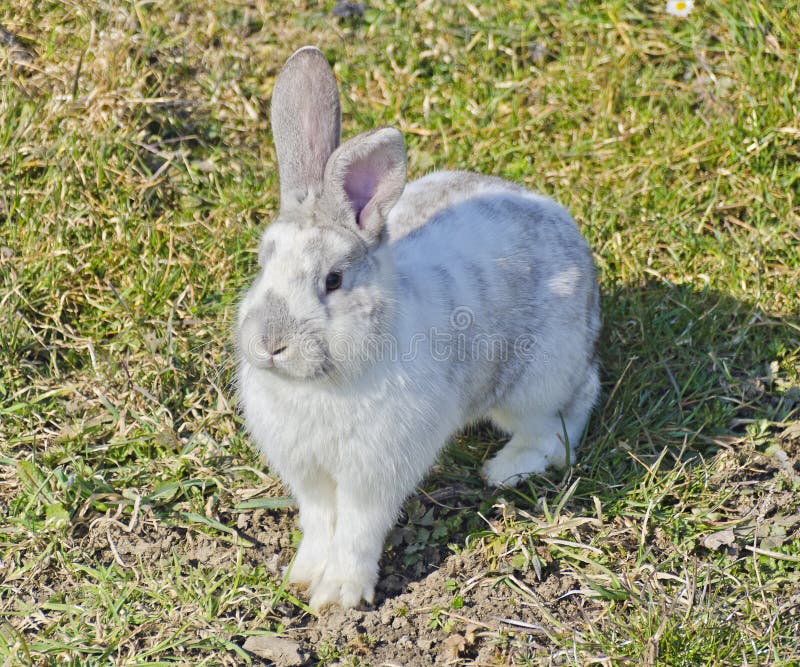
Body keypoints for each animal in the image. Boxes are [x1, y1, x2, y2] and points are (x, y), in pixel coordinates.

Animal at [236, 46, 600, 611]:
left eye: (333, 279)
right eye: (262, 263)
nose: (270, 345)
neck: (322, 383)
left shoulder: (374, 475)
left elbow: (358, 531)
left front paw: (338, 597)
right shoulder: (311, 477)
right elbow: (321, 524)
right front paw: (302, 577)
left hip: (533, 383)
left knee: (564, 420)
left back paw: (504, 469)